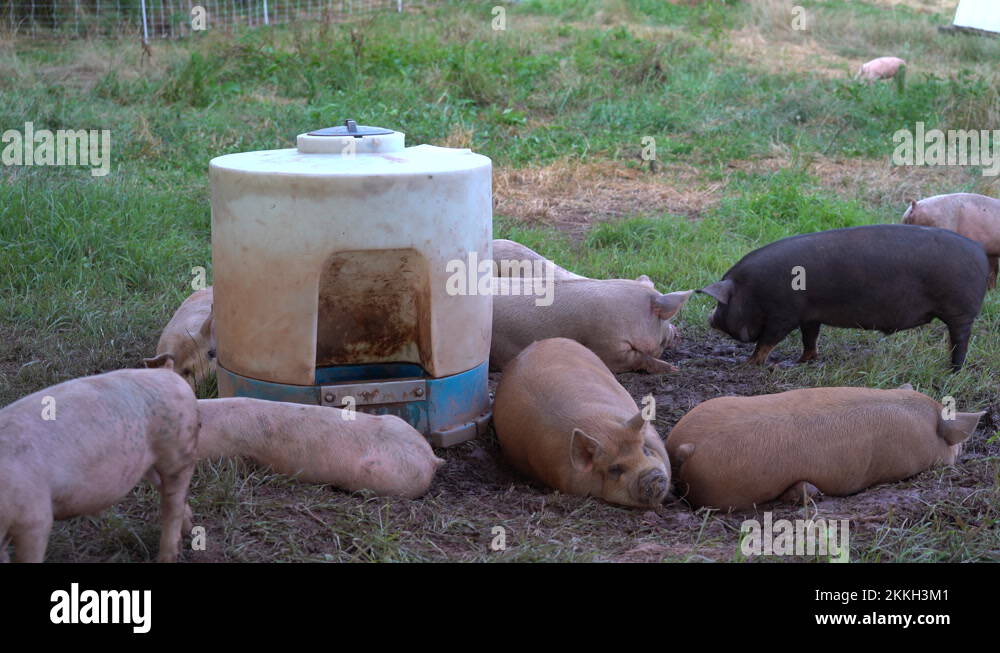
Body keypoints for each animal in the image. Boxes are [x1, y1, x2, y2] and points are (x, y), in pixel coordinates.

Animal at [0, 368, 198, 563]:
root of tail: (172, 375)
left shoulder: (34, 519)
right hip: (151, 463)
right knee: (166, 490)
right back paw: (187, 528)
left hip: (178, 454)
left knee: (173, 503)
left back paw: (167, 556)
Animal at [699, 224, 989, 371]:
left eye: (721, 303)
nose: (710, 318)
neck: (752, 291)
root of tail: (980, 251)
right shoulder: (809, 316)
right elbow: (810, 339)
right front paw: (801, 362)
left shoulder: (784, 315)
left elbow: (767, 342)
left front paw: (749, 364)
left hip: (960, 312)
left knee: (960, 343)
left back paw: (952, 371)